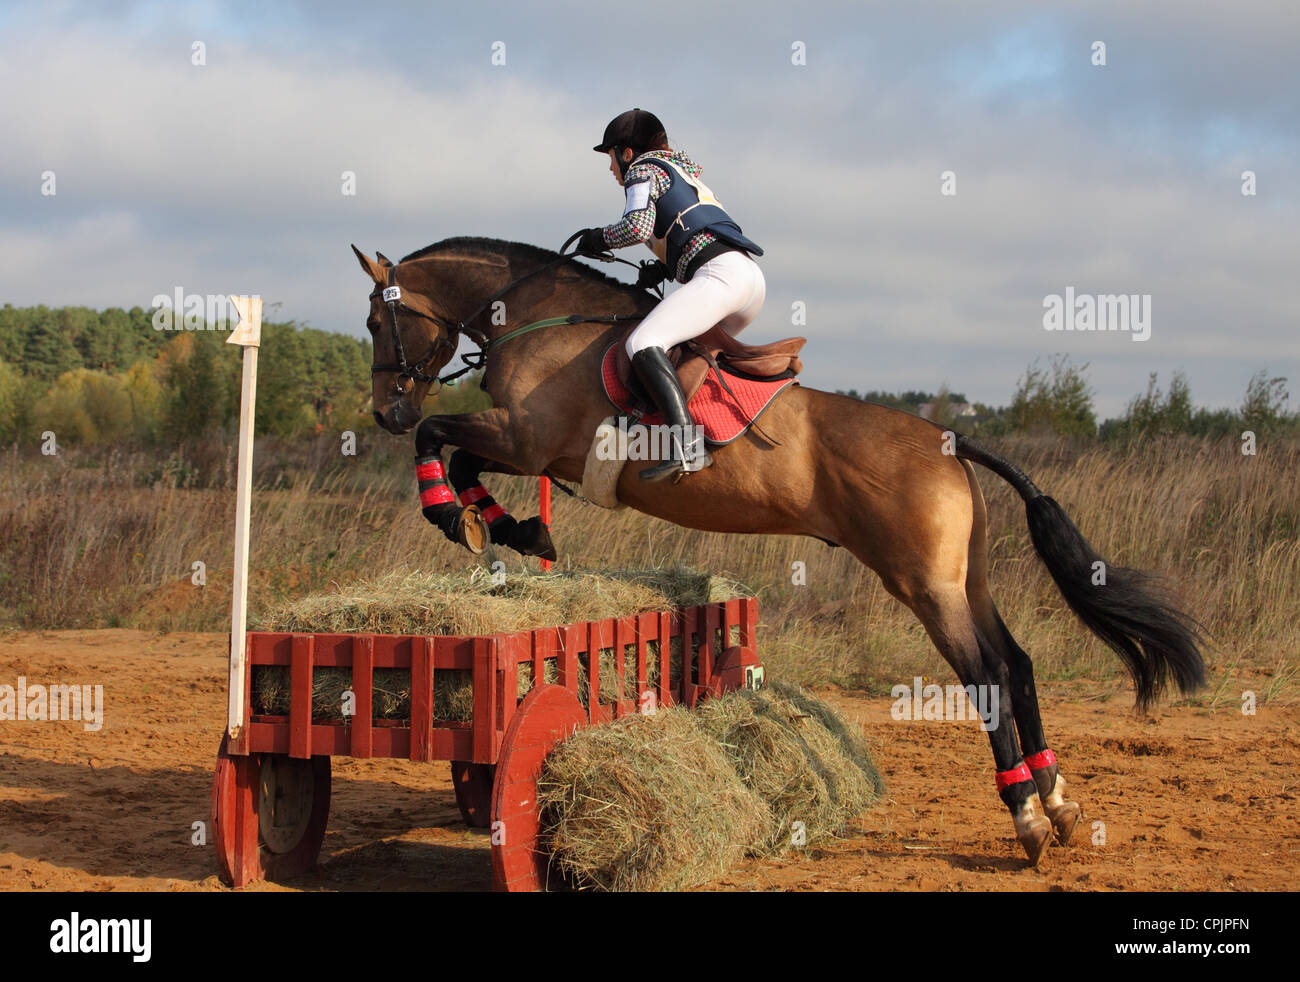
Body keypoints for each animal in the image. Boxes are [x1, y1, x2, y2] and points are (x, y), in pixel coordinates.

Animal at [352, 236, 1206, 864]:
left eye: (374, 324)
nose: (387, 412)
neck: (541, 318)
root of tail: (950, 439)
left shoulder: (528, 439)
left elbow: (445, 442)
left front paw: (456, 516)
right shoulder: (527, 447)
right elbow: (460, 457)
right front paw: (509, 528)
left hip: (924, 584)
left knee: (989, 673)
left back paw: (1026, 818)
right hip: (966, 579)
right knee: (1020, 665)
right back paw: (1058, 803)